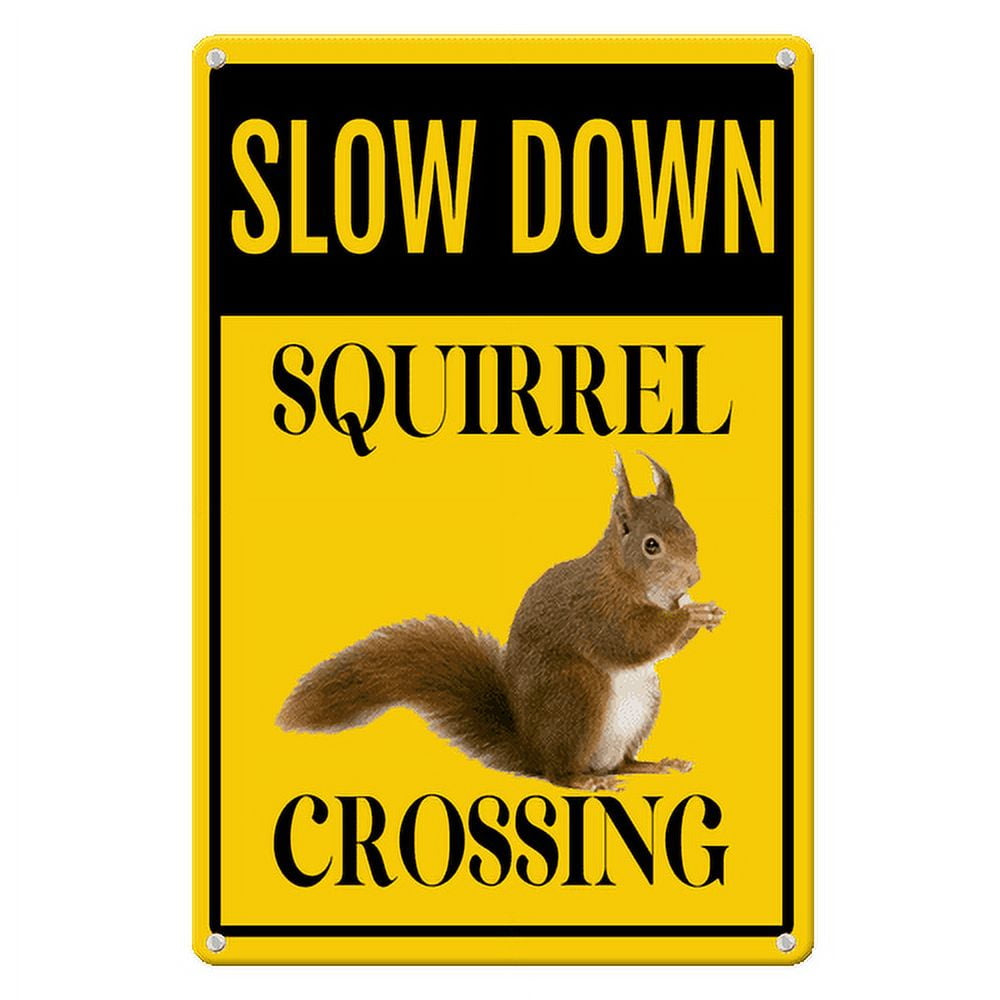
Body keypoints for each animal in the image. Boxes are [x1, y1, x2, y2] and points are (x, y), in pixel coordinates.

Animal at [276, 452, 724, 792]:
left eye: (690, 531)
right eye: (651, 546)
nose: (693, 578)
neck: (625, 577)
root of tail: (531, 750)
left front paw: (704, 612)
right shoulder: (595, 609)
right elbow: (630, 638)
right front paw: (689, 614)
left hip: (643, 702)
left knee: (619, 763)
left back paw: (652, 765)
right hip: (575, 692)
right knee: (559, 774)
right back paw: (585, 781)